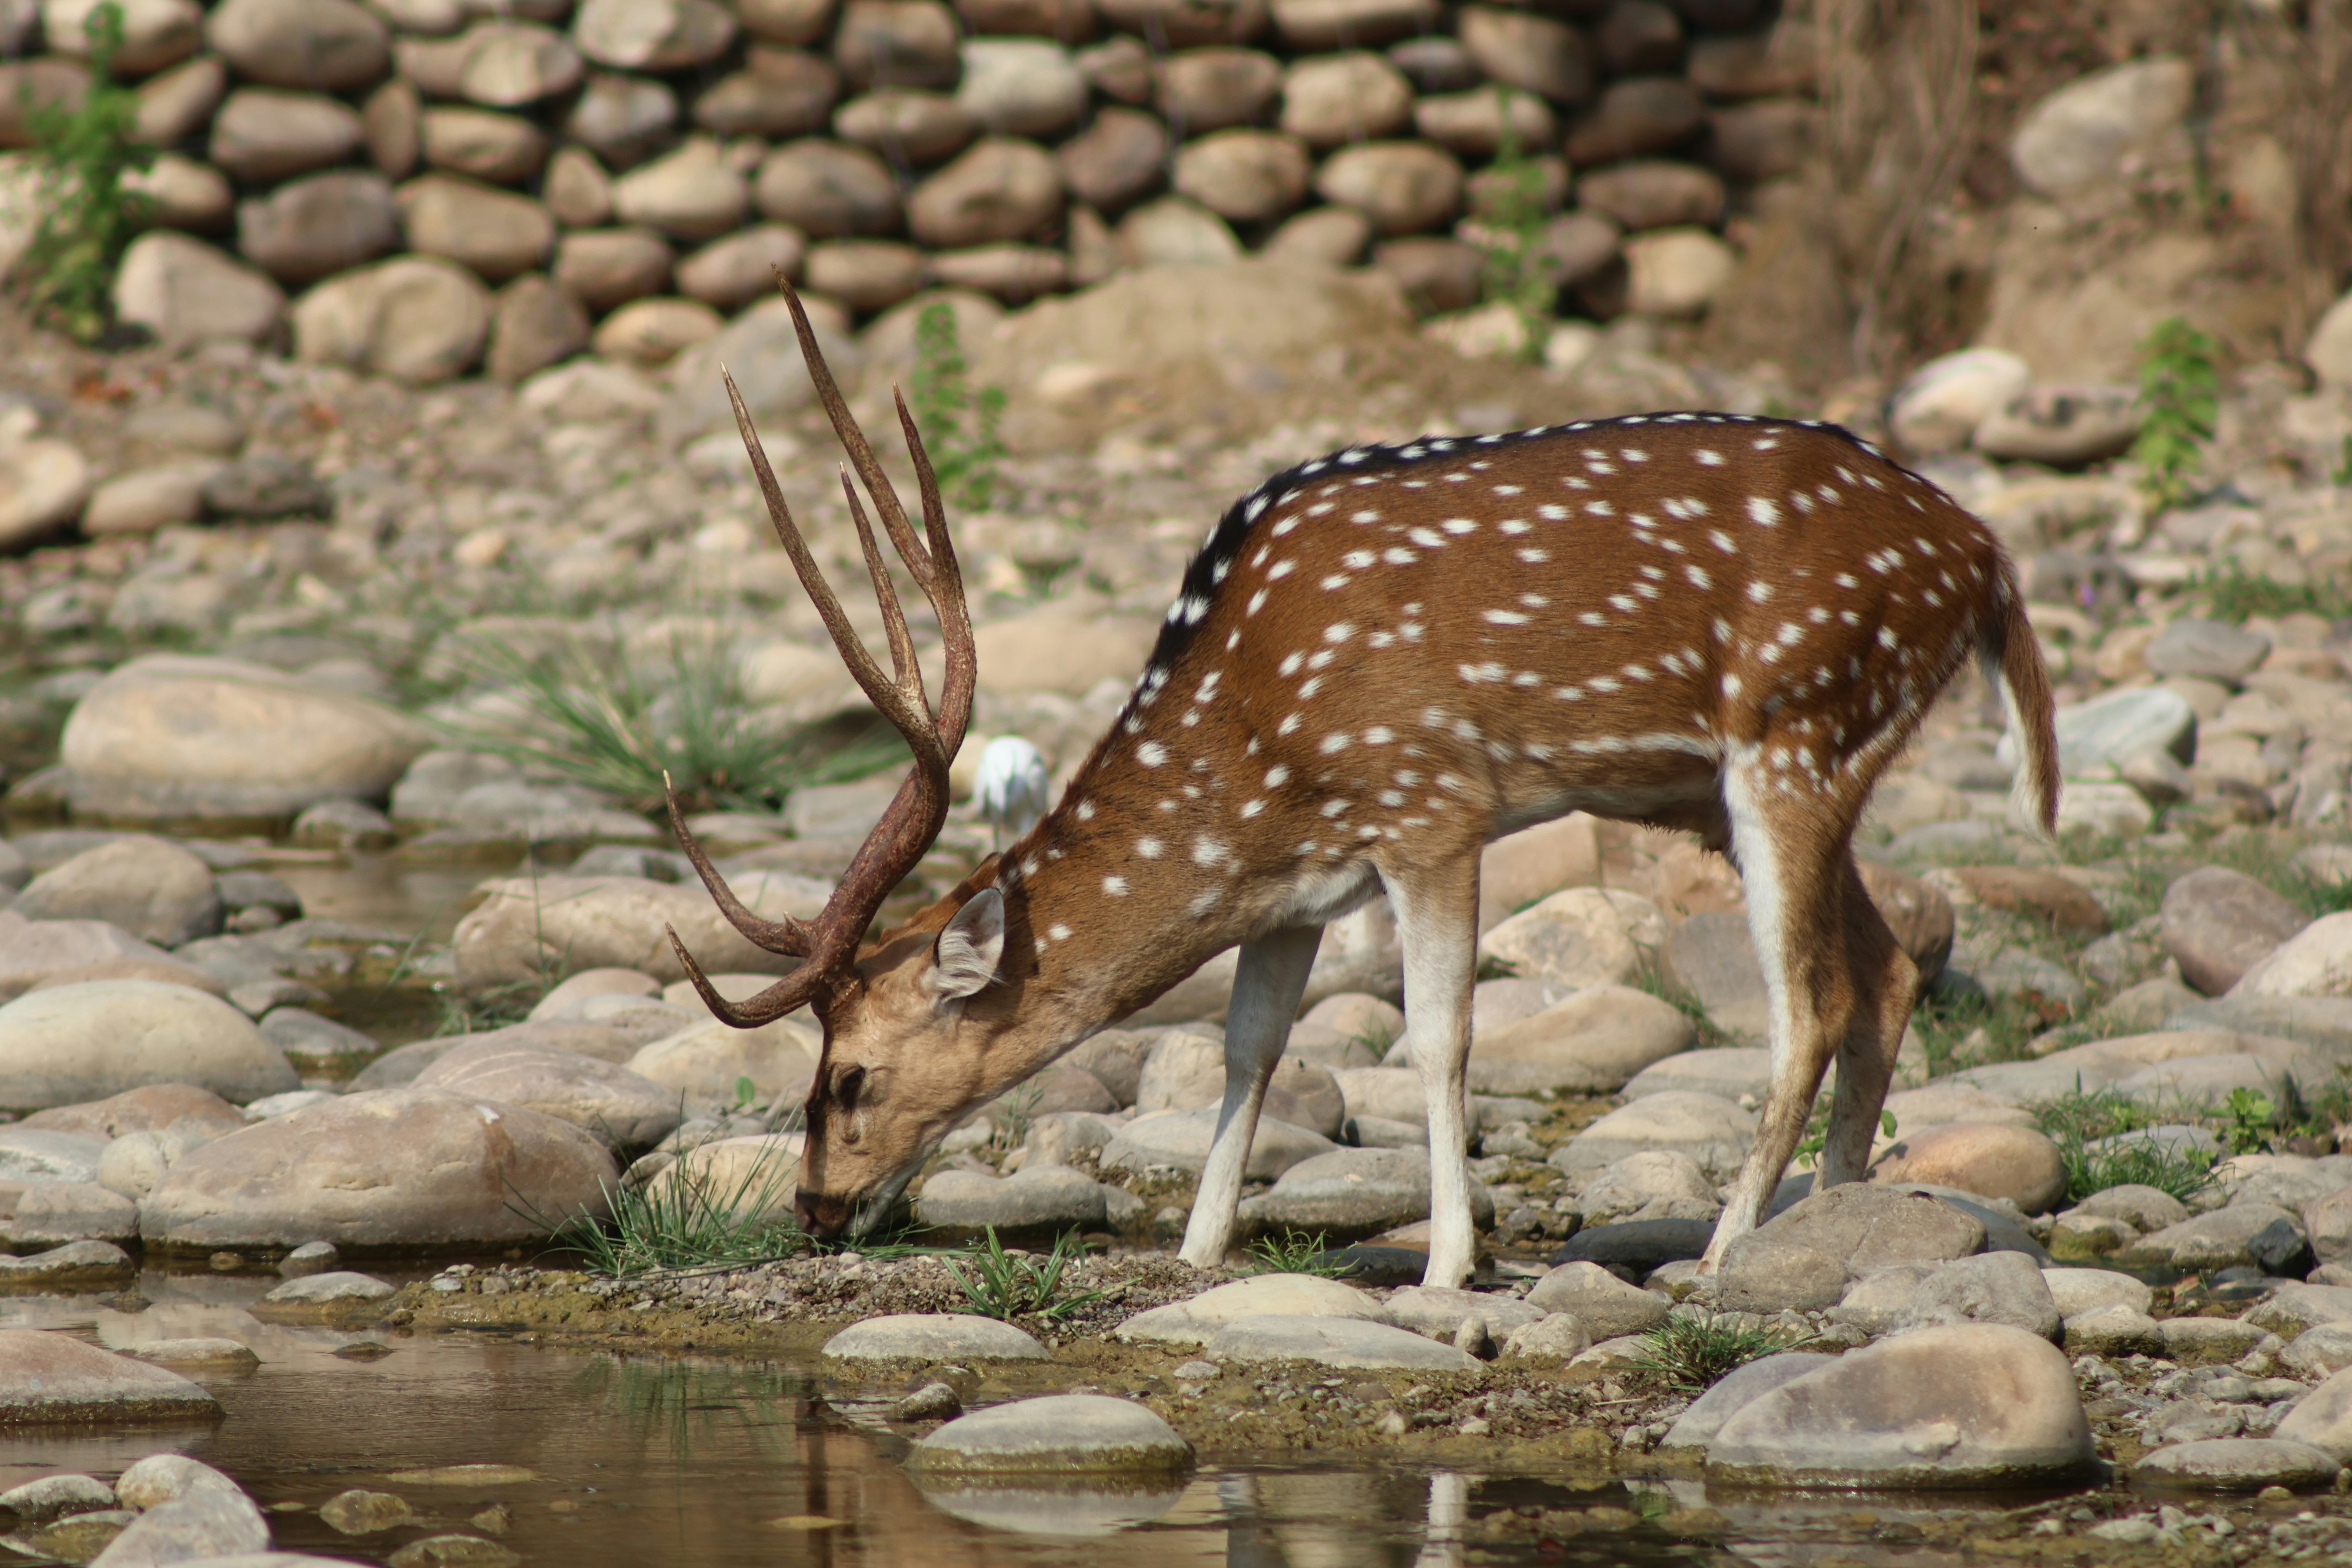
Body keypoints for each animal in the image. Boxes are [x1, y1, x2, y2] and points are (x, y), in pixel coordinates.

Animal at [661, 281, 2060, 1291]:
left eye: (849, 1076)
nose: (813, 1206)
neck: (1252, 735)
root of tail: (1984, 557)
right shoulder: (1290, 886)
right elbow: (1247, 1044)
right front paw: (1198, 1249)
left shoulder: (1427, 800)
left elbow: (1436, 1030)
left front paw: (1449, 1265)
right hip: (1740, 783)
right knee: (1886, 967)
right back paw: (1835, 1224)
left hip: (1796, 726)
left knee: (1809, 1002)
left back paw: (1723, 1251)